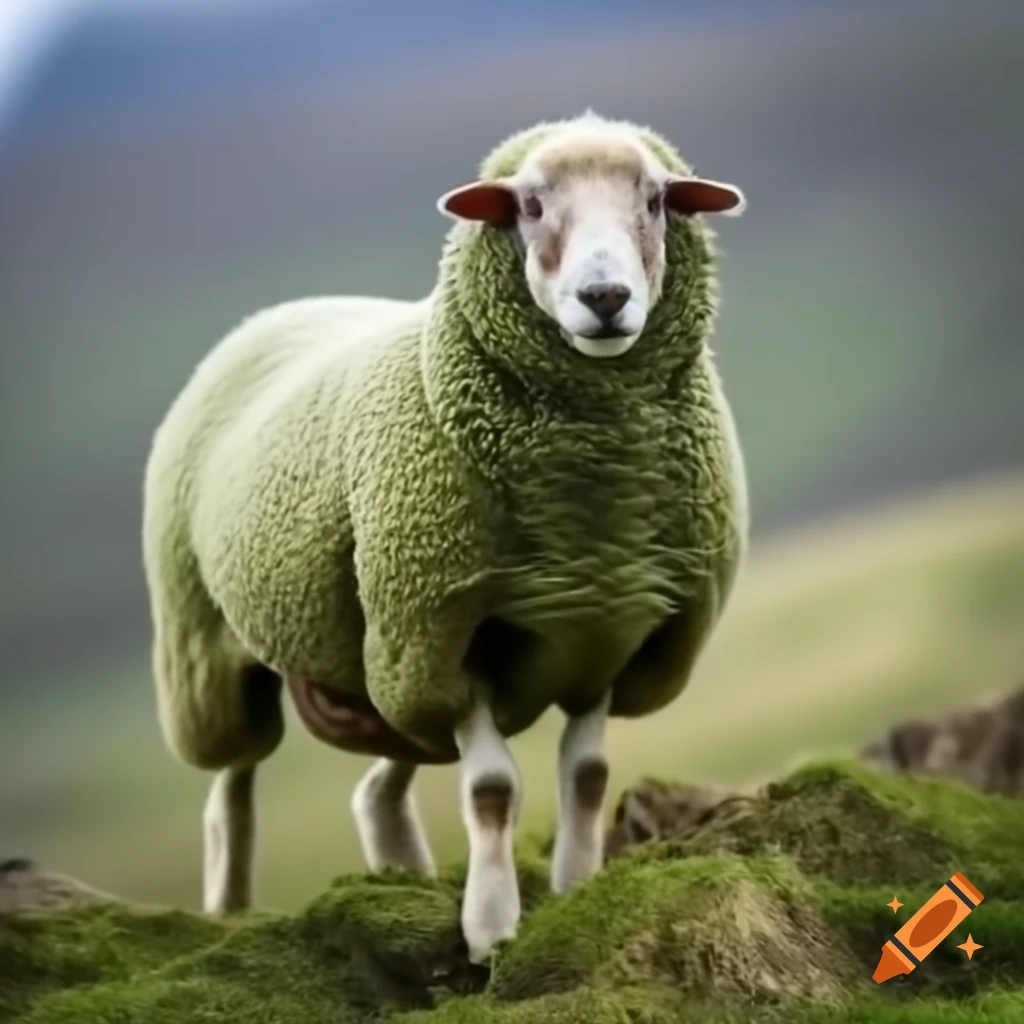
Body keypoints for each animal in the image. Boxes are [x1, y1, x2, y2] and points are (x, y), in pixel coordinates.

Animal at [142, 111, 749, 962]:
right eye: (529, 205)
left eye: (658, 200)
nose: (605, 296)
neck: (589, 515)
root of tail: (273, 315)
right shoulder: (444, 630)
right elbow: (492, 790)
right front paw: (490, 929)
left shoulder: (609, 640)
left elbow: (588, 777)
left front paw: (576, 889)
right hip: (227, 649)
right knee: (230, 790)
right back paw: (229, 911)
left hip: (385, 673)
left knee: (377, 787)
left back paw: (402, 876)